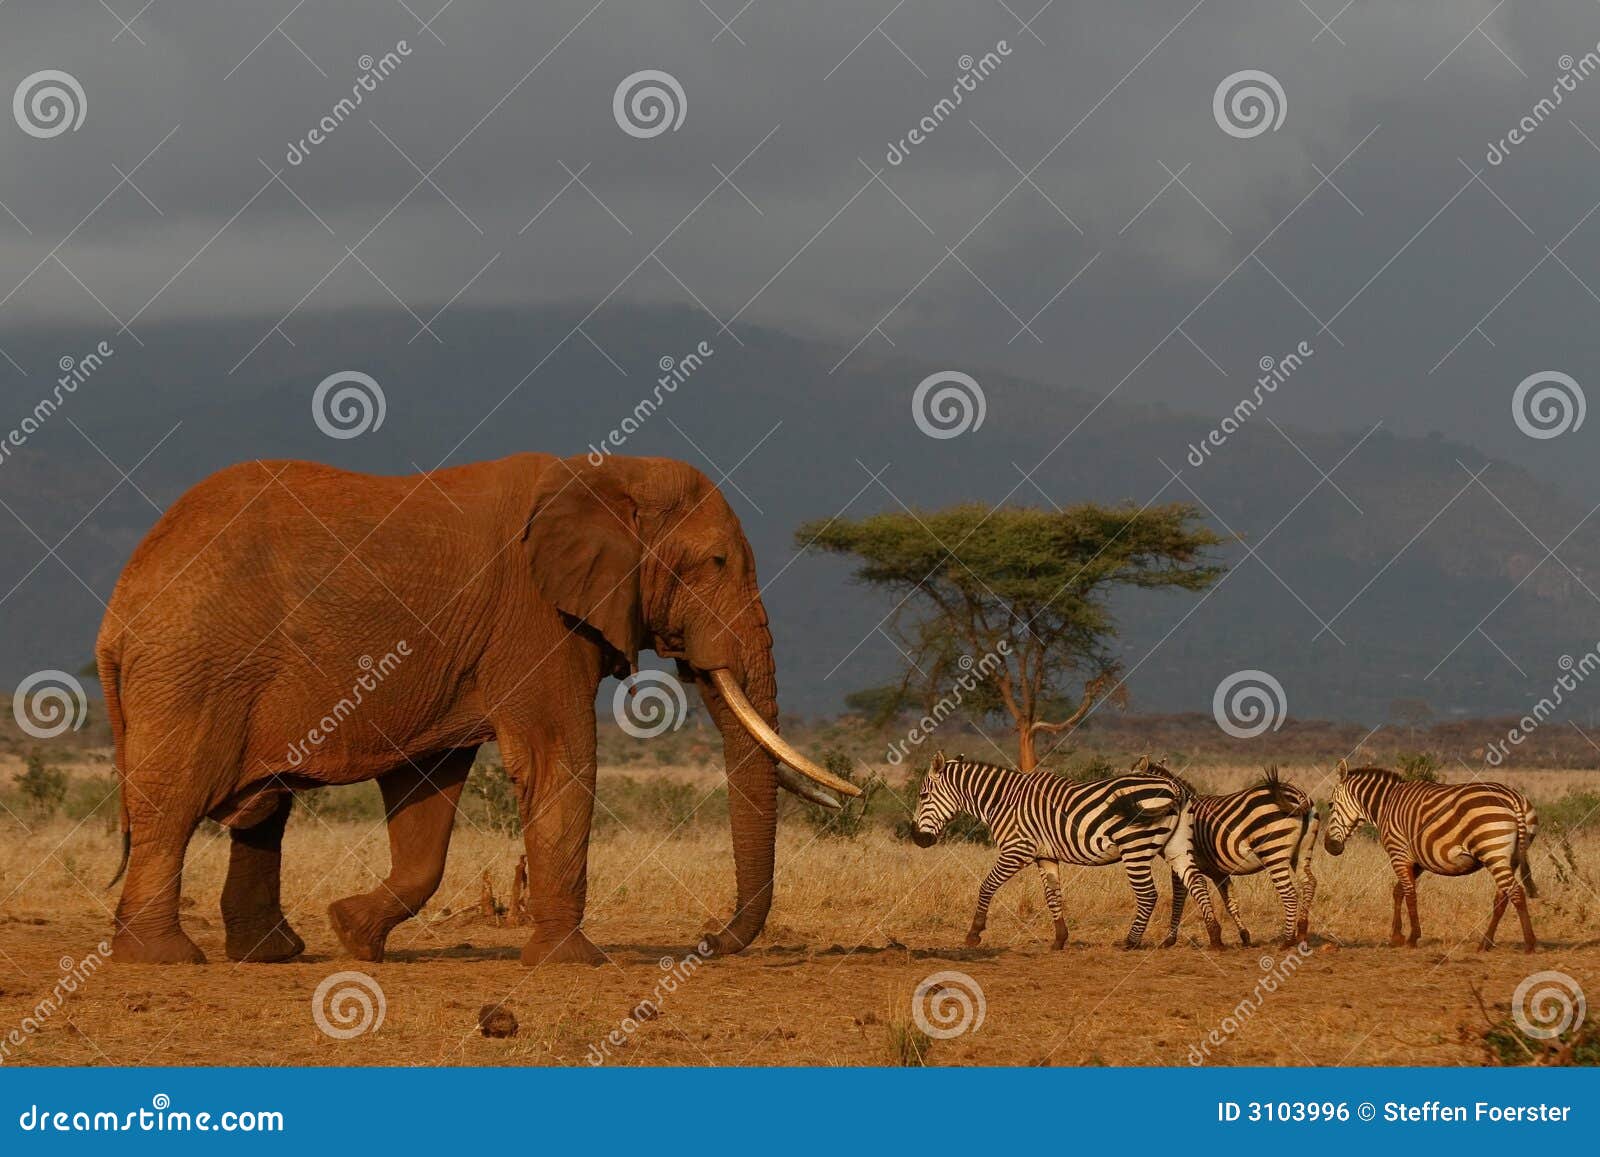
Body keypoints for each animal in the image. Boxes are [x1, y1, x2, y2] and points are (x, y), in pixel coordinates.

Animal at [96, 452, 857, 966]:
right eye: (718, 563)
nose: (708, 939)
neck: (610, 474)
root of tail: (121, 602)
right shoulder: (534, 618)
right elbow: (560, 758)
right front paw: (573, 964)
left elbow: (427, 794)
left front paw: (353, 933)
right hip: (194, 668)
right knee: (174, 803)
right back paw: (164, 957)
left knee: (262, 810)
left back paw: (274, 953)